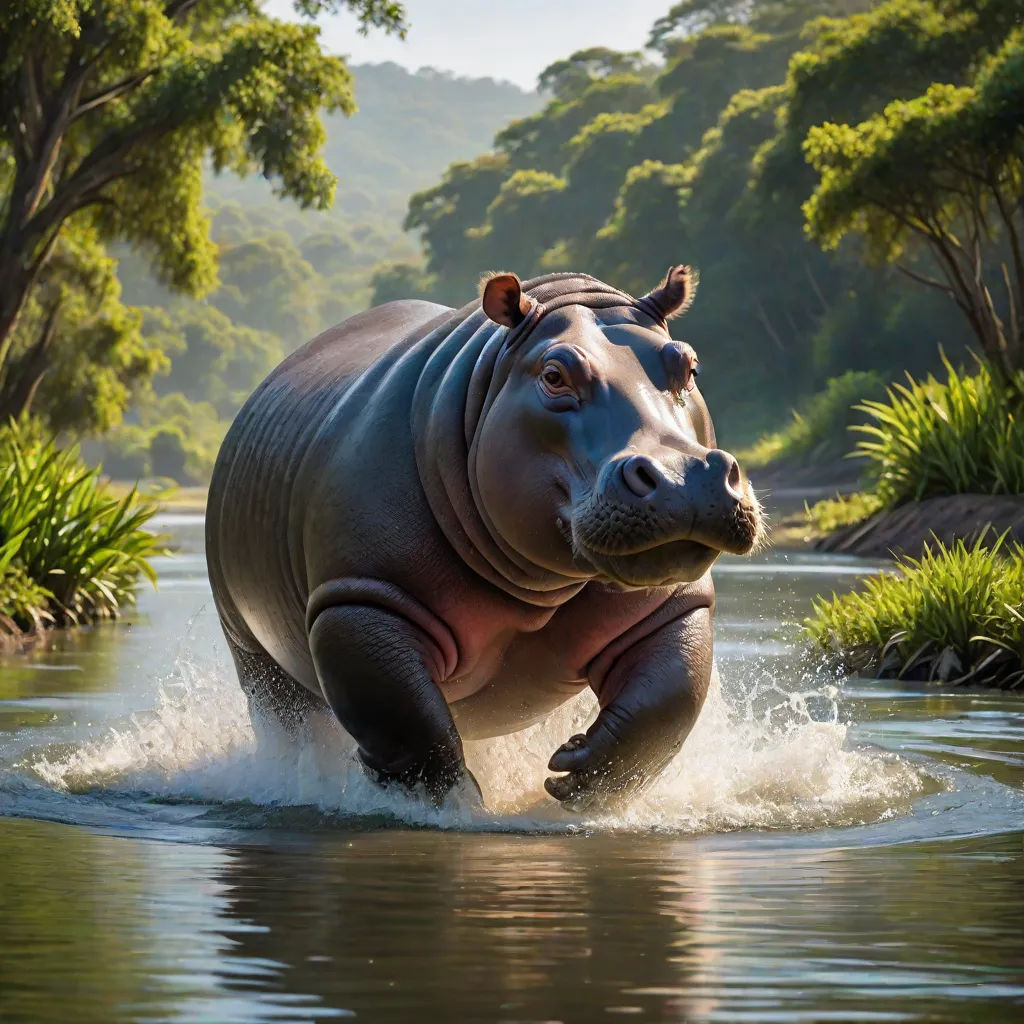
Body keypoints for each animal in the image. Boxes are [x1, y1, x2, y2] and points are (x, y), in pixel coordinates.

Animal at [206, 267, 763, 810]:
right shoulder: (360, 600)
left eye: (688, 366)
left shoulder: (670, 604)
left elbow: (668, 703)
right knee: (292, 722)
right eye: (554, 375)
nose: (682, 478)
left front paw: (575, 775)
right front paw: (458, 808)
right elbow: (410, 729)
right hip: (249, 648)